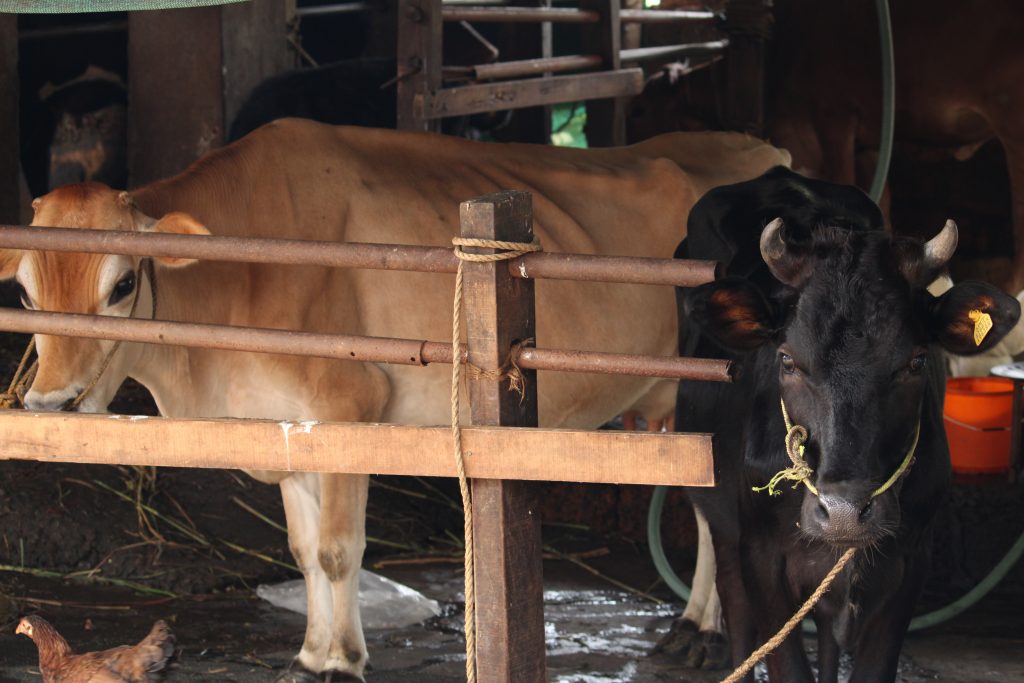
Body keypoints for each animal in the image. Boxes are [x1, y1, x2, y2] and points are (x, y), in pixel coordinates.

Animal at [0, 118, 788, 682]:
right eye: (25, 292)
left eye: (124, 284)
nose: (51, 405)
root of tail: (761, 148)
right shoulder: (286, 427)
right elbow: (301, 551)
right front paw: (310, 654)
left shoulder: (349, 409)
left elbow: (337, 551)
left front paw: (340, 662)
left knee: (720, 509)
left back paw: (704, 630)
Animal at [671, 165, 1019, 682]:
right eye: (787, 360)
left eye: (917, 361)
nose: (844, 512)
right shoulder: (762, 558)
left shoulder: (909, 564)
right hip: (724, 523)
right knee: (733, 604)